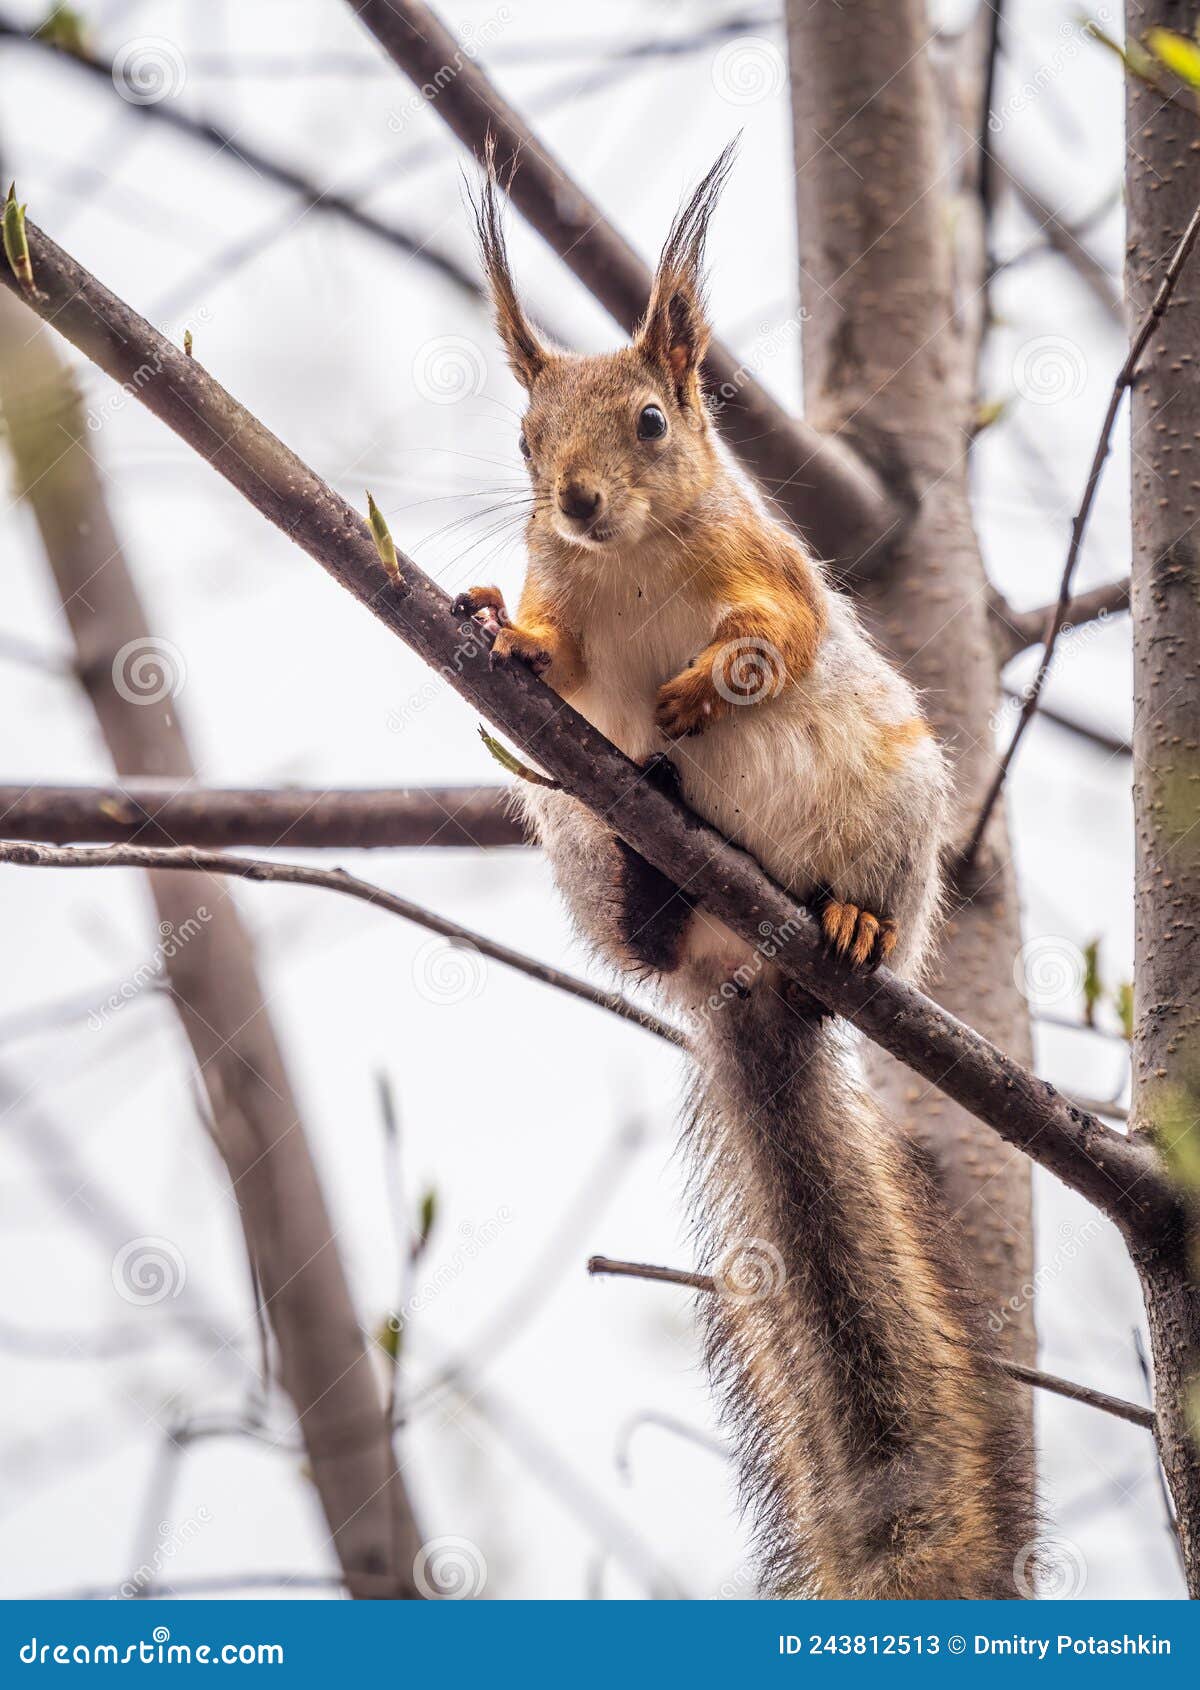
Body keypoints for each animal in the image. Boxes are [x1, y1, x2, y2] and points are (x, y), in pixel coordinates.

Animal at [454, 145, 1033, 1599]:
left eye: (656, 421)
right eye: (527, 442)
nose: (577, 503)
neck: (631, 561)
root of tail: (745, 970)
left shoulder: (770, 568)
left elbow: (782, 632)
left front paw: (713, 684)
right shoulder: (577, 617)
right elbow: (564, 658)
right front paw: (502, 626)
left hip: (896, 822)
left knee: (860, 903)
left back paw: (850, 924)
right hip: (579, 849)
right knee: (637, 908)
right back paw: (656, 876)